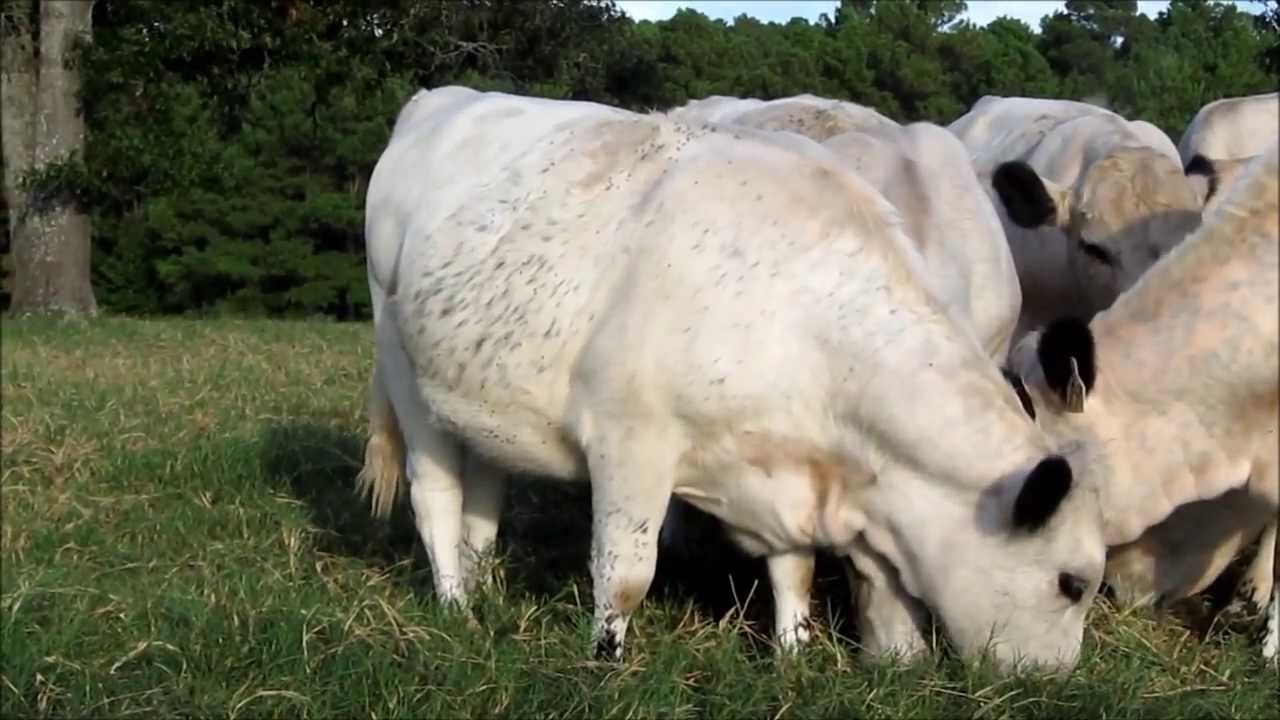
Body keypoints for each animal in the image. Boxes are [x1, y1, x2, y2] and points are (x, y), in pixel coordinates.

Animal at [357, 85, 1109, 672]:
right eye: (1071, 583)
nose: (1053, 681)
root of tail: (437, 99)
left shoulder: (787, 466)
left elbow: (794, 568)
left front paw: (795, 653)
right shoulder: (630, 444)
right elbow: (625, 576)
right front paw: (608, 660)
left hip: (477, 399)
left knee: (485, 493)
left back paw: (482, 585)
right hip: (403, 371)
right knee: (437, 495)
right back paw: (456, 604)